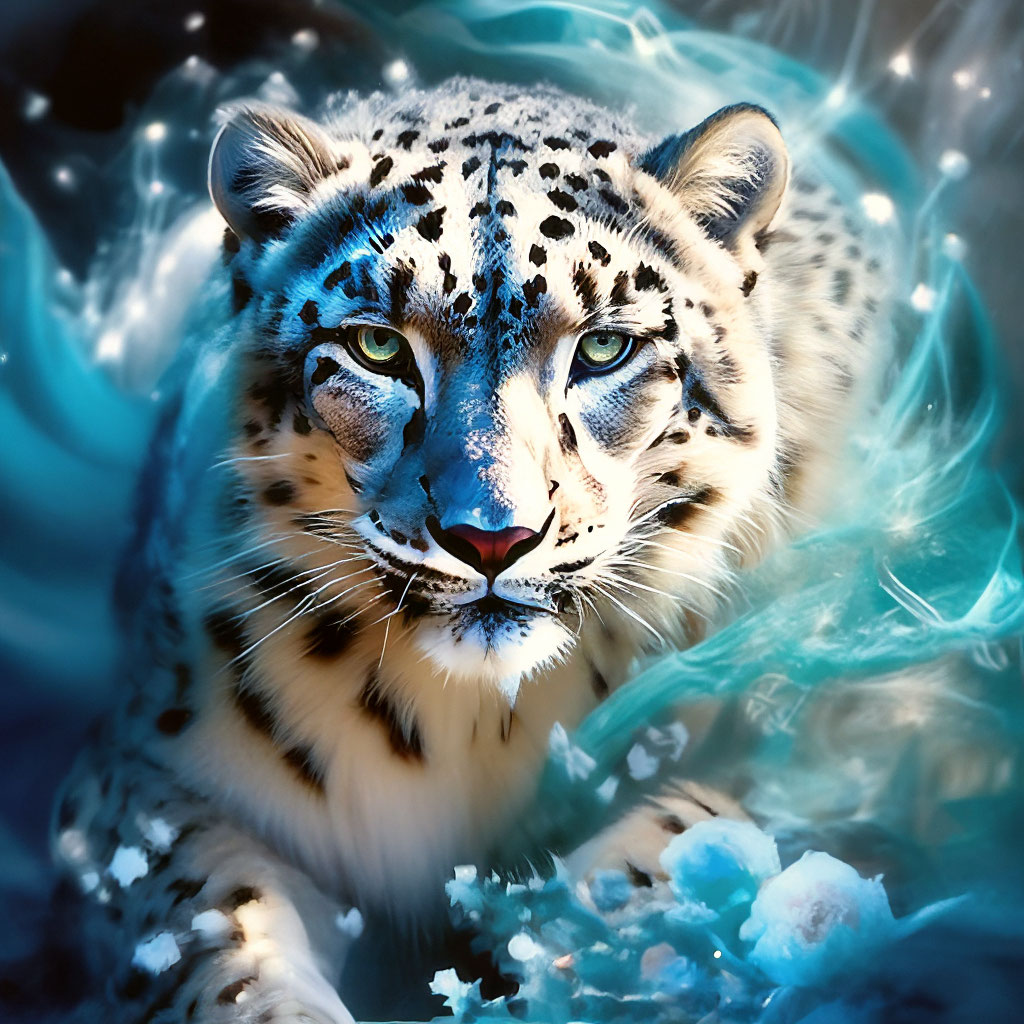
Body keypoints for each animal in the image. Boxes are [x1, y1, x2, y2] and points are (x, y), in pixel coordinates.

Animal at [51, 76, 889, 1022]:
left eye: (606, 347)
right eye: (377, 345)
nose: (492, 537)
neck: (474, 728)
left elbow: (708, 832)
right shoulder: (138, 776)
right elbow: (210, 916)